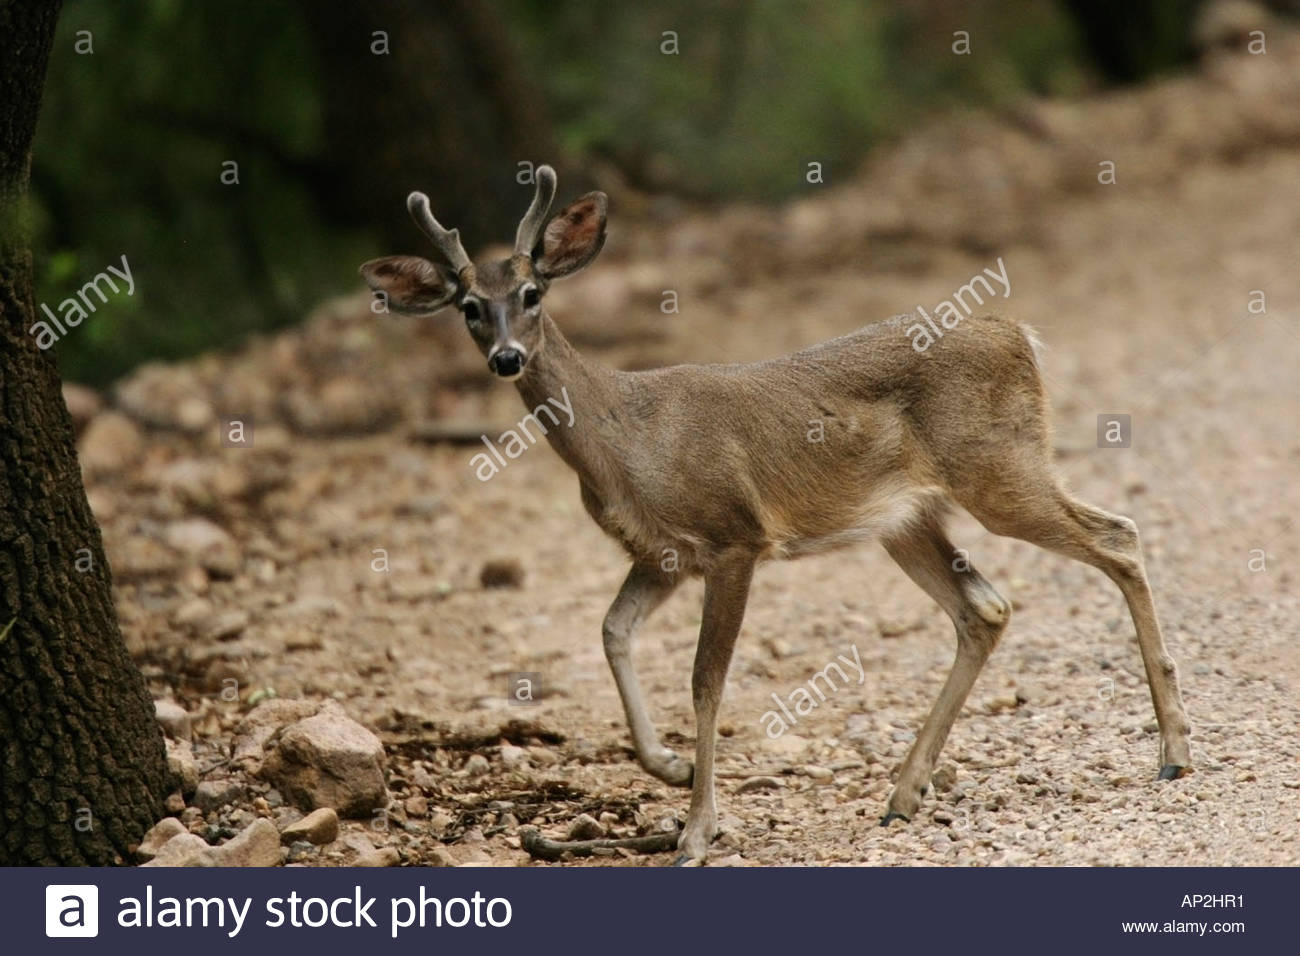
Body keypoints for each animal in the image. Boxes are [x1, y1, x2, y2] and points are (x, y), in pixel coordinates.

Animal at [360, 166, 1192, 864]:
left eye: (532, 293)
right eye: (469, 307)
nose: (504, 356)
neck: (625, 440)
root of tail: (1021, 334)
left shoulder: (734, 537)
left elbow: (705, 679)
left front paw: (698, 831)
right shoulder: (660, 554)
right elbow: (612, 631)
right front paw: (667, 767)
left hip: (998, 469)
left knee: (1117, 537)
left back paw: (1174, 751)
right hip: (905, 519)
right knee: (984, 607)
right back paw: (904, 792)